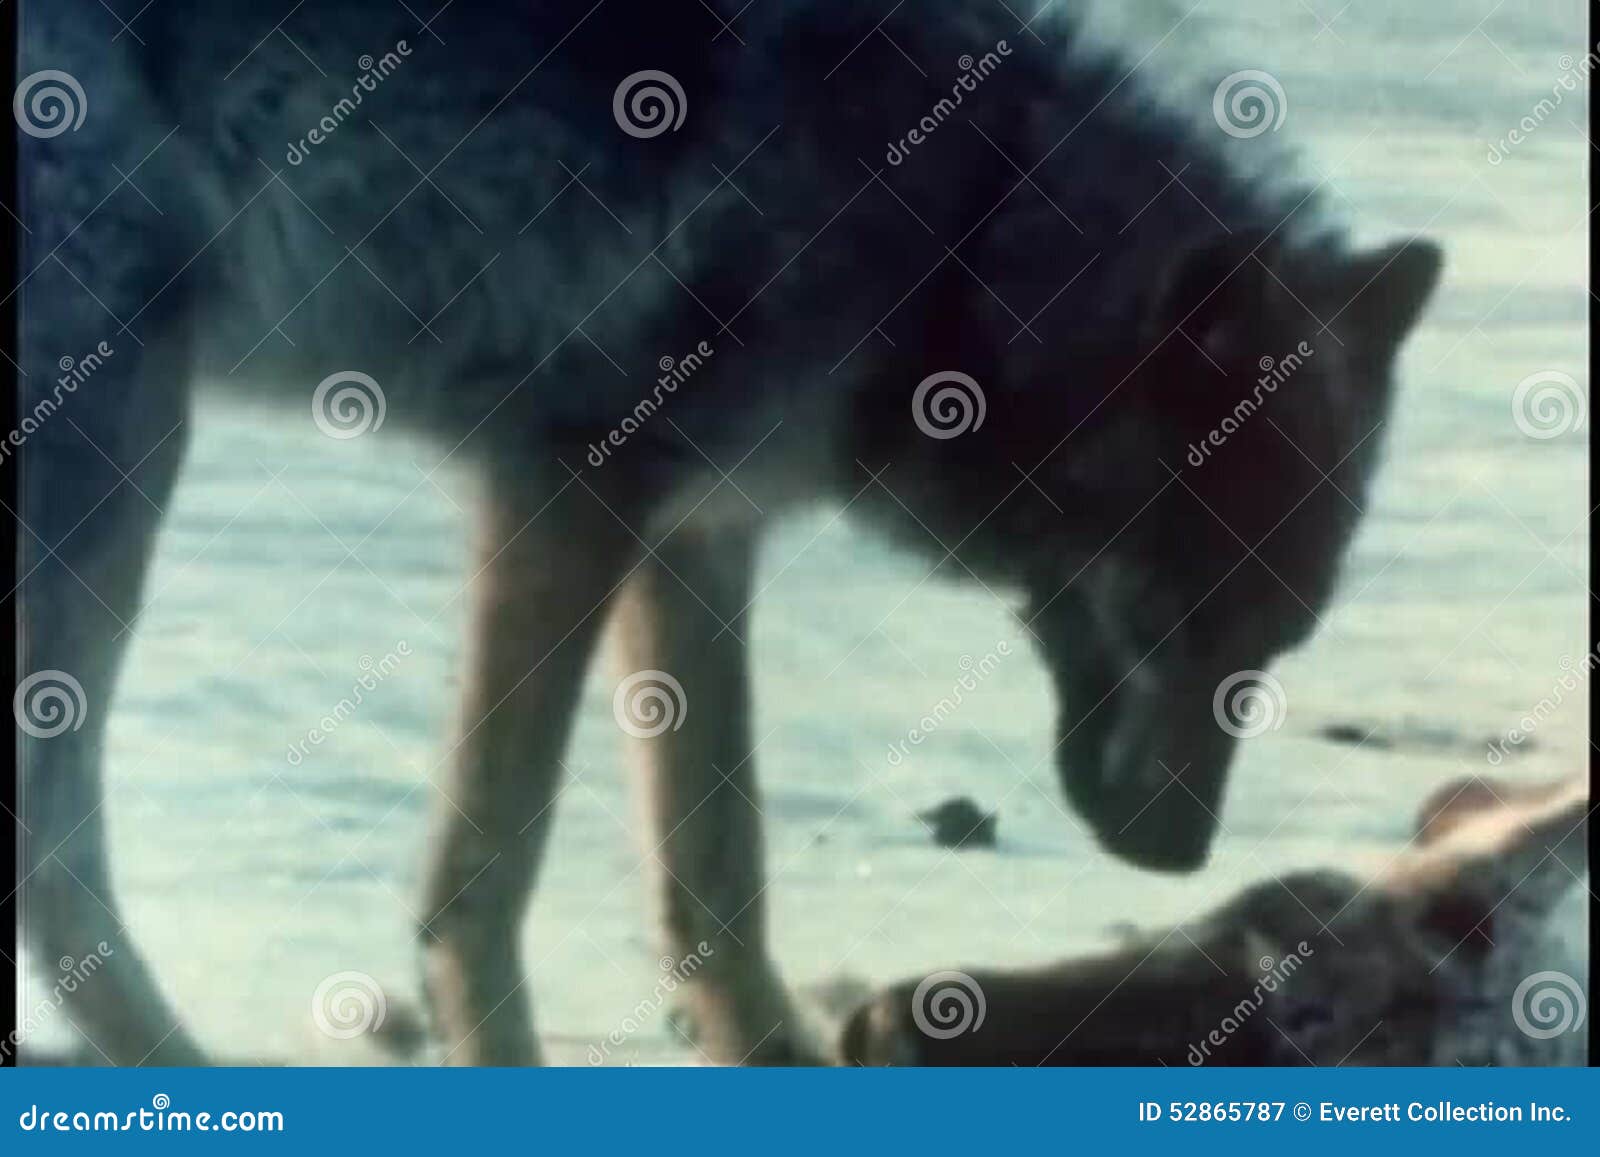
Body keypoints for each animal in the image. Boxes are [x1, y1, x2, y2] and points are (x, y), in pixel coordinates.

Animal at [17, 0, 1441, 1064]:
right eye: (1180, 616)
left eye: (1269, 645)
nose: (1181, 854)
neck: (960, 218)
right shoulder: (565, 490)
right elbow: (489, 868)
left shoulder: (695, 533)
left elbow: (718, 866)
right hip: (124, 447)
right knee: (55, 844)